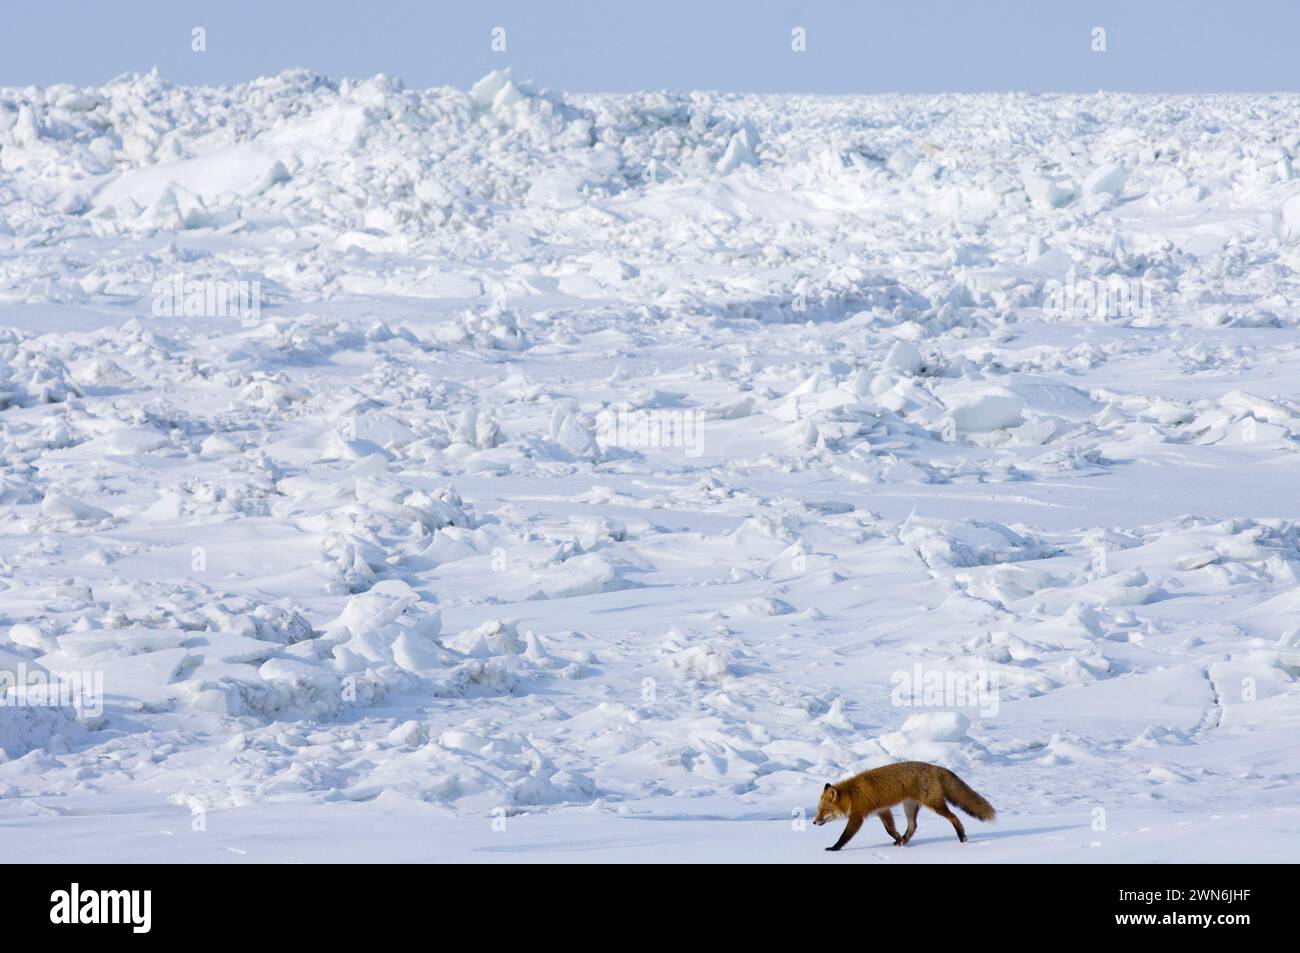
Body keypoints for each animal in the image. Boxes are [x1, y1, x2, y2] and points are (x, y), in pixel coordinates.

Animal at [813, 761, 995, 851]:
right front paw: (898, 839)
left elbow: (844, 836)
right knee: (913, 826)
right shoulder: (883, 810)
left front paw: (834, 848)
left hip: (934, 805)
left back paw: (962, 836)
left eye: (825, 810)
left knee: (954, 817)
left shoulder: (858, 816)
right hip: (909, 807)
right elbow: (890, 830)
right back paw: (904, 841)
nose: (814, 822)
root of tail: (935, 767)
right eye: (818, 810)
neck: (852, 795)